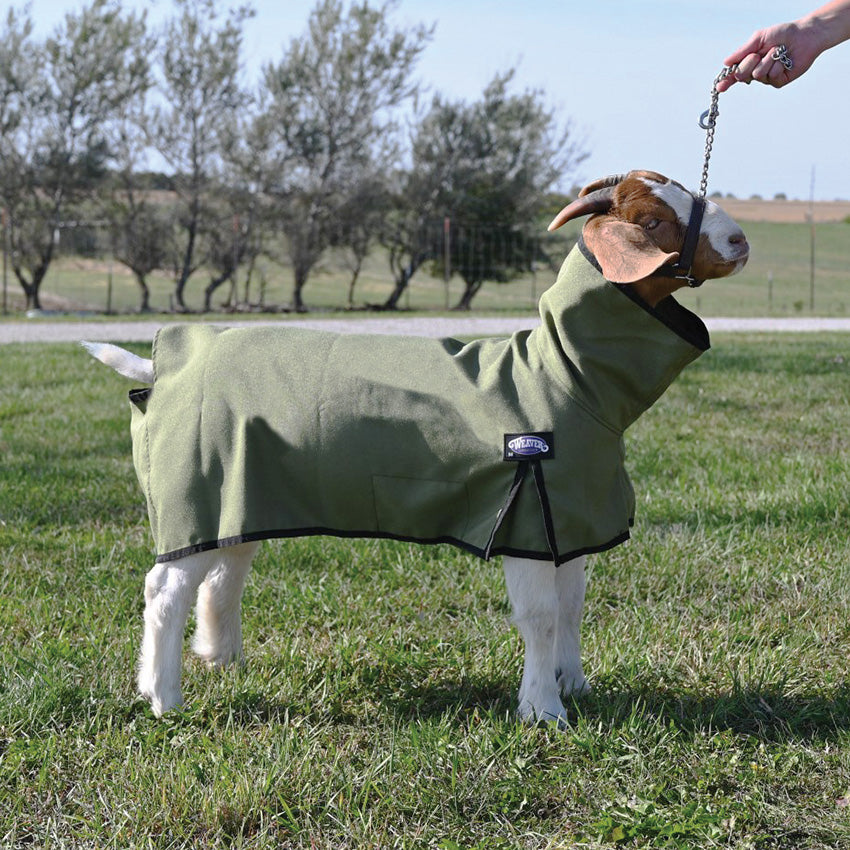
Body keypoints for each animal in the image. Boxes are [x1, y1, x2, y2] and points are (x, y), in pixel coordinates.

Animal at [84, 169, 748, 723]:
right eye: (652, 222)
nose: (740, 240)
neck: (562, 375)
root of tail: (163, 365)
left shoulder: (569, 516)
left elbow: (573, 605)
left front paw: (574, 683)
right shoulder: (527, 514)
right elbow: (539, 617)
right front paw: (543, 710)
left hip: (238, 490)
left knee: (225, 568)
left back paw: (220, 657)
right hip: (191, 488)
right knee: (165, 591)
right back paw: (164, 697)